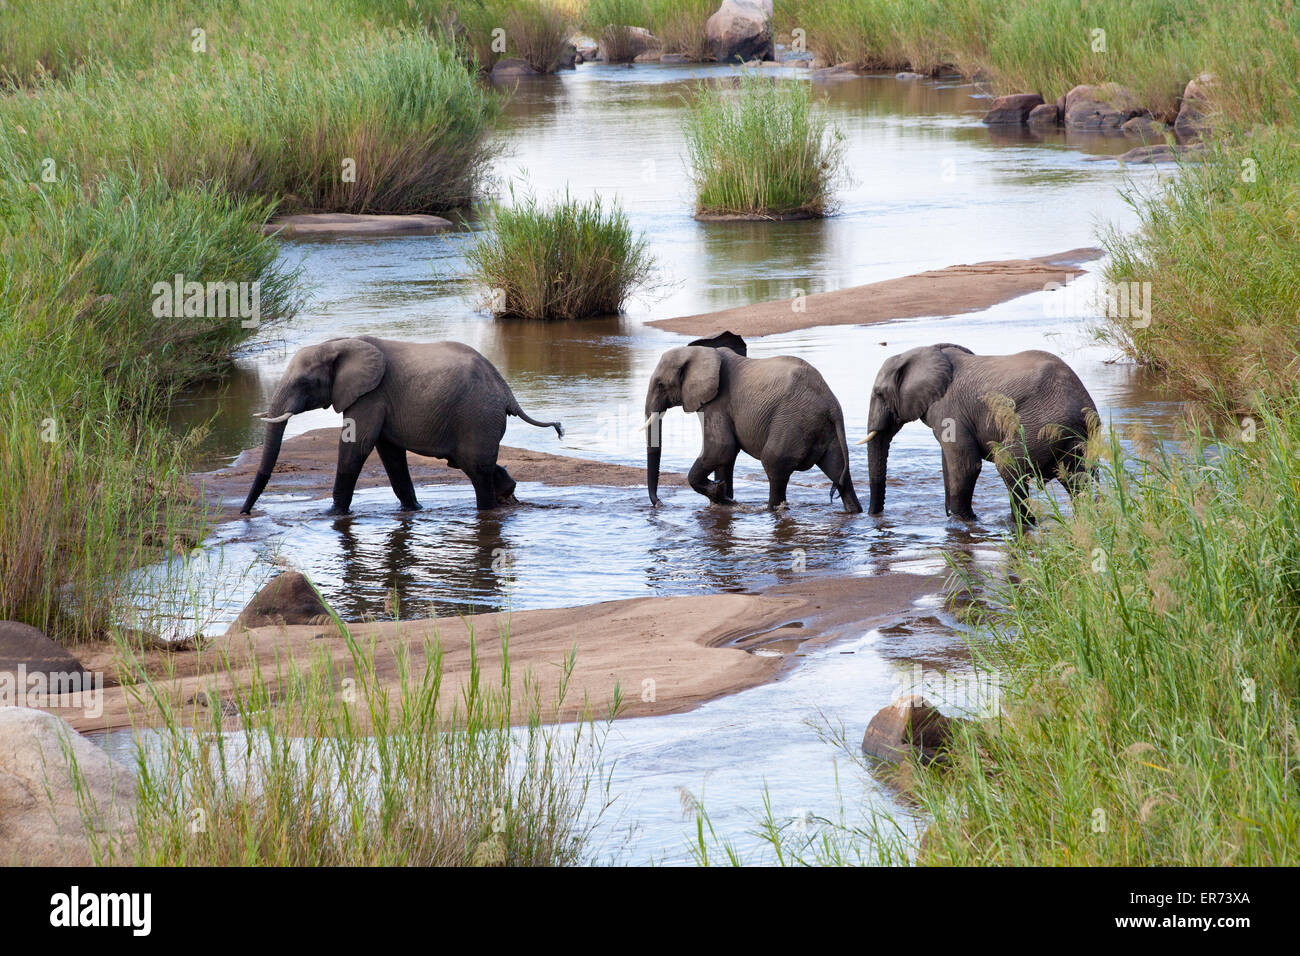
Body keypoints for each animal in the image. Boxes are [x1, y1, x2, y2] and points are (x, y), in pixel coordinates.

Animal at [239, 336, 563, 516]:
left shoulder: (370, 395)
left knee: (476, 470)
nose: (245, 513)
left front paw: (332, 514)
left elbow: (356, 447)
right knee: (467, 462)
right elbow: (390, 455)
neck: (337, 343)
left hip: (478, 416)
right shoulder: (378, 400)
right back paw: (507, 492)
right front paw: (412, 510)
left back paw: (487, 508)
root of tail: (507, 392)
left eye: (305, 383)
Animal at [643, 331, 862, 512]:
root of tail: (832, 405)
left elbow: (720, 448)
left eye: (660, 384)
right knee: (837, 470)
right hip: (824, 428)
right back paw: (854, 511)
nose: (660, 503)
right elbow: (726, 457)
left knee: (774, 464)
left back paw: (770, 509)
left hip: (793, 420)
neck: (699, 352)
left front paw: (721, 496)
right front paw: (723, 497)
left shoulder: (717, 403)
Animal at [859, 343, 1098, 525]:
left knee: (1008, 464)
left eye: (879, 394)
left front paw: (963, 521)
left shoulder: (949, 408)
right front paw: (952, 517)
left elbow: (965, 464)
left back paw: (1020, 523)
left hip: (1040, 425)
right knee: (1079, 478)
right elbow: (948, 464)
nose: (873, 515)